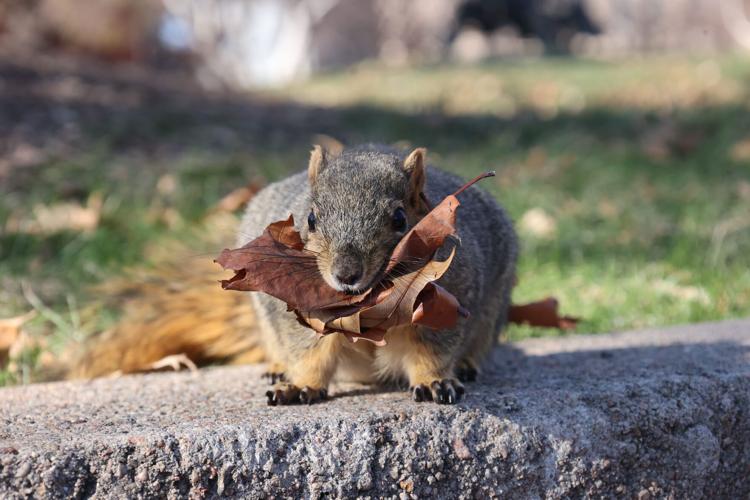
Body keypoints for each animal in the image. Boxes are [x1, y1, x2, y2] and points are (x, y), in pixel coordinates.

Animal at [70, 144, 518, 406]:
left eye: (399, 218)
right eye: (311, 219)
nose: (346, 274)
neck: (368, 304)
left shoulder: (451, 295)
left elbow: (432, 350)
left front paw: (436, 381)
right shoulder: (299, 313)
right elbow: (310, 354)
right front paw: (299, 385)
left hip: (493, 309)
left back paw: (467, 365)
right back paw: (276, 367)